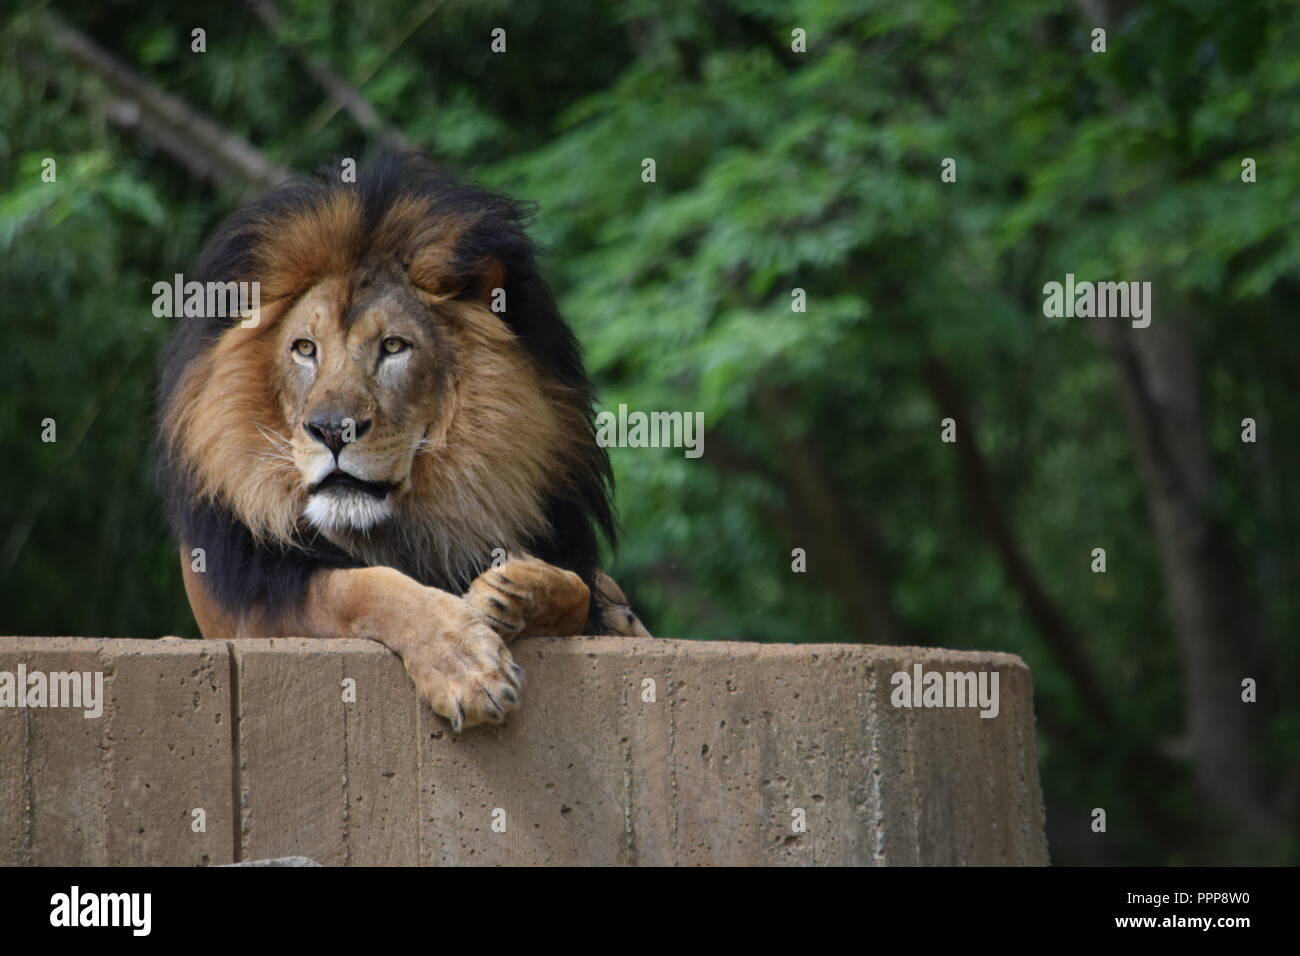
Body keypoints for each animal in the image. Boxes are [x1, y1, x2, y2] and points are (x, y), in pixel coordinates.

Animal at [156, 152, 649, 732]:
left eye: (393, 347)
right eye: (305, 348)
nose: (332, 430)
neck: (408, 526)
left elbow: (577, 589)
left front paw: (513, 593)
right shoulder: (251, 605)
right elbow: (360, 586)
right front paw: (465, 666)